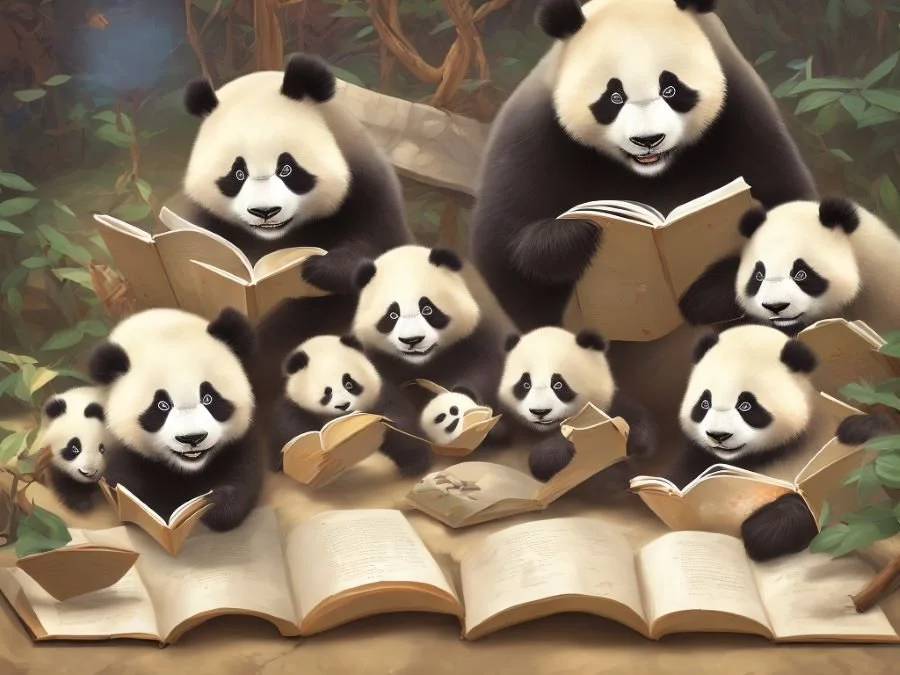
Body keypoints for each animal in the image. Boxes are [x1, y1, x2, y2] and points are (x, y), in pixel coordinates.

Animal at [87, 307, 262, 532]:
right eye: (162, 405)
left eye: (208, 398)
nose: (192, 438)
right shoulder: (124, 451)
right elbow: (133, 494)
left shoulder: (239, 441)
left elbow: (243, 471)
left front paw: (216, 503)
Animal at [181, 52, 414, 415]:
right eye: (237, 174)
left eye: (287, 168)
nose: (265, 212)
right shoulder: (204, 219)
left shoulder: (366, 186)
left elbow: (375, 248)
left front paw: (318, 269)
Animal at [269, 334, 433, 475]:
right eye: (327, 392)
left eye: (349, 384)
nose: (343, 405)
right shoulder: (294, 406)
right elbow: (292, 432)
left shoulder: (381, 395)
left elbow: (401, 424)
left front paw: (413, 464)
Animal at [352, 245, 511, 446]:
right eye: (392, 315)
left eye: (427, 309)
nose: (412, 340)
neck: (423, 362)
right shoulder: (374, 353)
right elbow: (382, 392)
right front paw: (405, 430)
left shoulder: (478, 330)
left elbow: (484, 368)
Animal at [468, 0, 817, 334]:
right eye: (614, 96)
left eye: (670, 89)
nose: (648, 140)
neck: (650, 172)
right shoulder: (533, 134)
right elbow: (502, 250)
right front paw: (577, 235)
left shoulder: (744, 115)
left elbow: (785, 203)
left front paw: (705, 296)